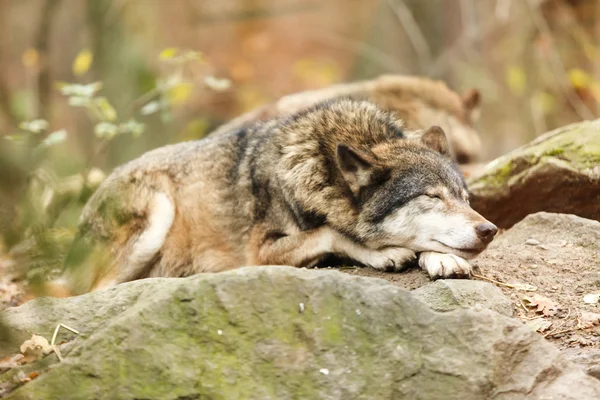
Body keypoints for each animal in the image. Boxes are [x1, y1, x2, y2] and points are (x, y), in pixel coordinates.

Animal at [61, 100, 496, 294]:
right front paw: (384, 252)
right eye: (432, 197)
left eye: (464, 198)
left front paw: (443, 259)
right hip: (156, 211)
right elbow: (332, 232)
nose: (490, 230)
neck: (322, 167)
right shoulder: (261, 251)